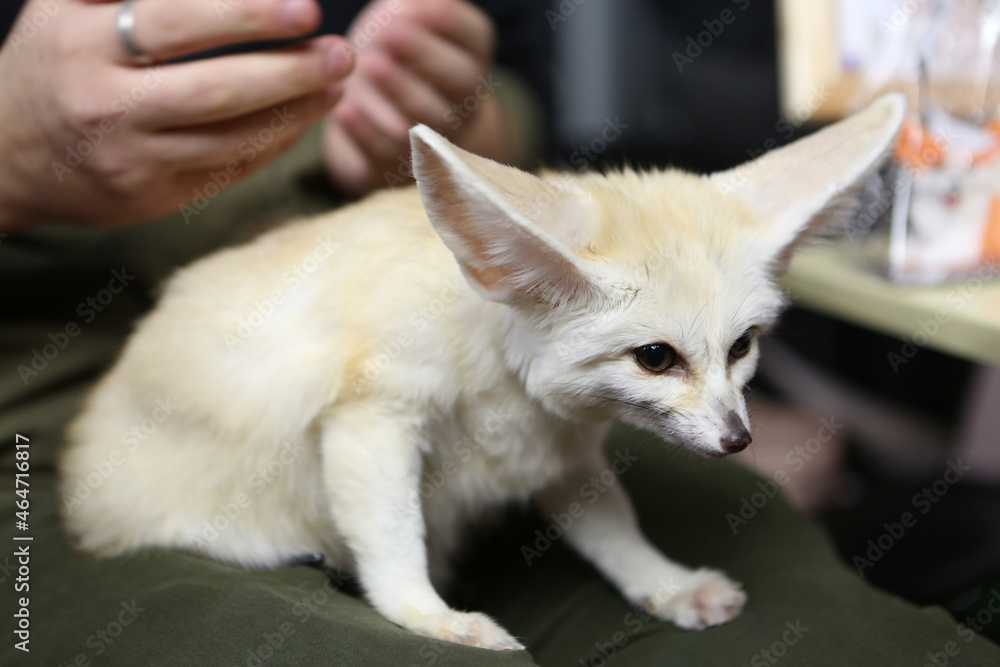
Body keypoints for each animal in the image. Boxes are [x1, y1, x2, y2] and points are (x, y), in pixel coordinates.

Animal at [60, 95, 905, 651]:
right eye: (657, 357)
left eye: (743, 347)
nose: (738, 440)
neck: (502, 371)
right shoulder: (371, 418)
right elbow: (393, 535)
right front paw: (430, 618)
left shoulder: (559, 451)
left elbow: (615, 528)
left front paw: (663, 583)